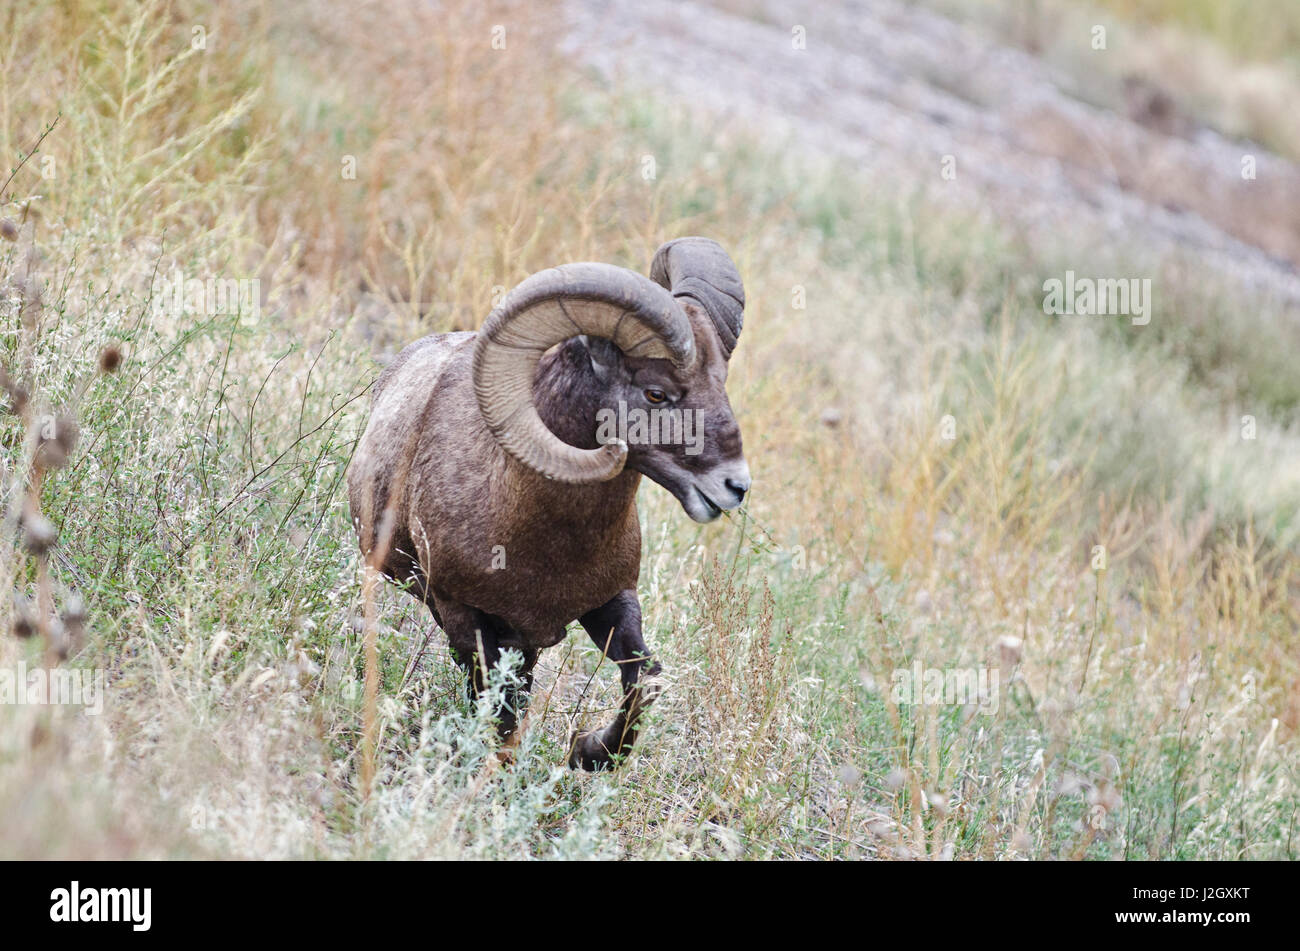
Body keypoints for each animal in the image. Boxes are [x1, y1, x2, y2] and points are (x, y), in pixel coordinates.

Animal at [346, 237, 750, 769]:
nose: (735, 485)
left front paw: (589, 752)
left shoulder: (611, 603)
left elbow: (643, 681)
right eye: (656, 393)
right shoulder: (461, 613)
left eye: (721, 382)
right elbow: (497, 710)